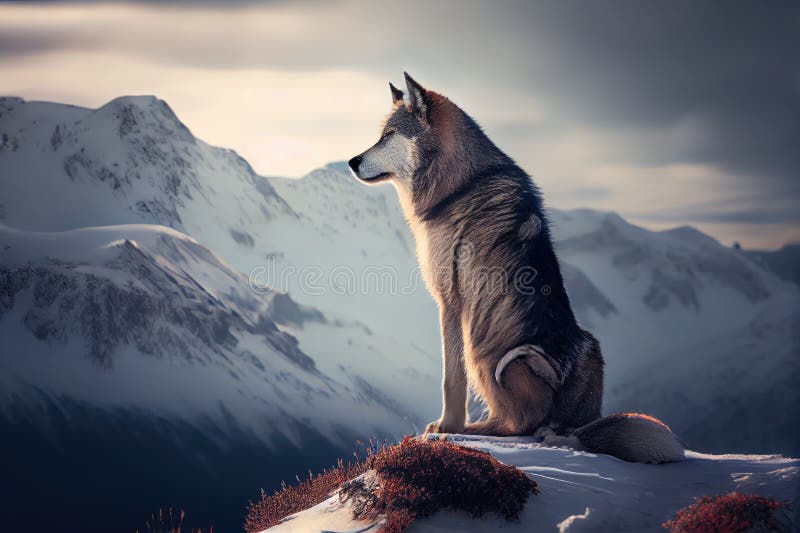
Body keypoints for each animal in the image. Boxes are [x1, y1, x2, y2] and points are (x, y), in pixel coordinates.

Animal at [349, 73, 684, 463]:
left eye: (388, 135)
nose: (352, 161)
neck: (459, 184)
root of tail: (573, 429)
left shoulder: (450, 301)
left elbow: (451, 379)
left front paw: (444, 426)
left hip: (500, 358)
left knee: (519, 424)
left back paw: (469, 430)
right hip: (583, 345)